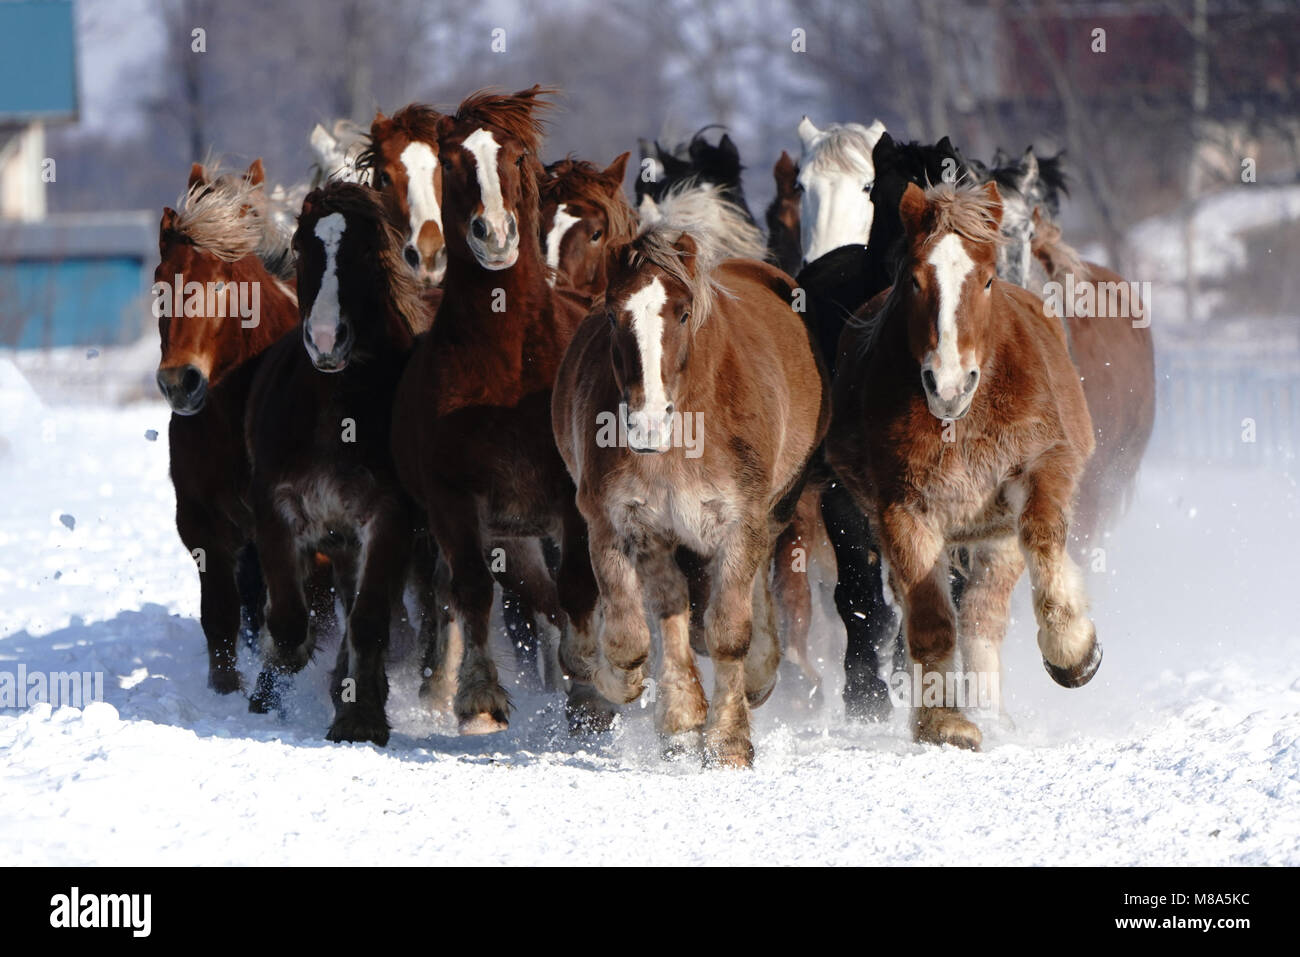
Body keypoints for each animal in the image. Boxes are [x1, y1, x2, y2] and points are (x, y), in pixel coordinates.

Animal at [155, 159, 304, 695]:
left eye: (222, 283)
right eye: (160, 284)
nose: (180, 382)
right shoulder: (201, 522)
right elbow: (219, 617)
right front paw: (227, 690)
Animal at [244, 182, 430, 744]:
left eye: (367, 253)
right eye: (303, 248)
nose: (326, 339)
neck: (333, 413)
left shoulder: (386, 517)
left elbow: (367, 623)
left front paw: (360, 717)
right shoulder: (275, 506)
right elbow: (286, 619)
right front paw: (292, 655)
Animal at [390, 86, 611, 736]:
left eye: (515, 158)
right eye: (451, 162)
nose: (495, 235)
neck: (509, 367)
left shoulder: (572, 502)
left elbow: (578, 592)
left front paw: (589, 699)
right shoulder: (454, 502)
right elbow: (470, 591)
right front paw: (478, 697)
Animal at [552, 203, 829, 768]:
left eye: (682, 314)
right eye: (612, 315)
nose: (647, 424)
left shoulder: (739, 524)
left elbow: (728, 633)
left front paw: (728, 740)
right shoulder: (622, 525)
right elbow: (633, 637)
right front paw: (647, 700)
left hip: (772, 513)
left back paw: (758, 675)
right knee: (670, 610)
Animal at [826, 182, 1101, 749]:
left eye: (988, 278)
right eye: (912, 280)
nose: (949, 385)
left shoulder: (1040, 468)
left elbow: (1043, 537)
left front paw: (1073, 651)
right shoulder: (903, 509)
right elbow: (930, 619)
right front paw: (944, 720)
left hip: (996, 535)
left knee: (983, 616)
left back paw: (996, 710)